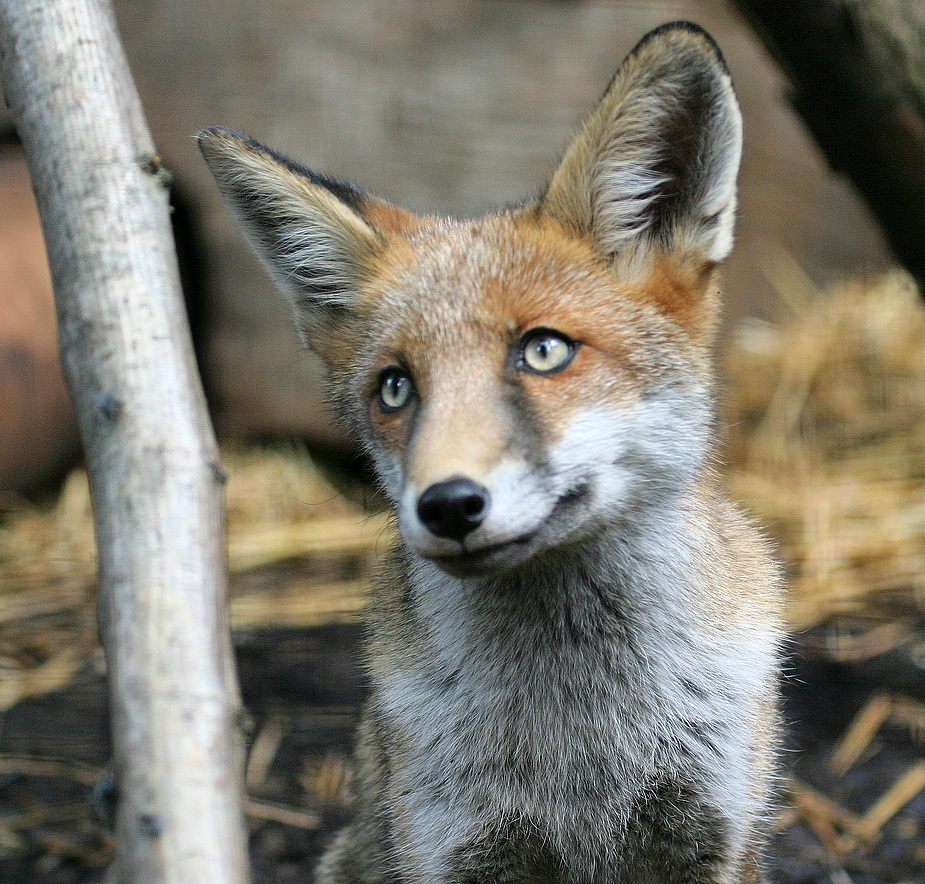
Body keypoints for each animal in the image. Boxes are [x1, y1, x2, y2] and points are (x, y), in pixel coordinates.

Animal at [199, 20, 783, 884]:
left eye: (542, 351)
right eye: (395, 389)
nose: (447, 506)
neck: (583, 738)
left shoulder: (707, 832)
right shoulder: (460, 844)